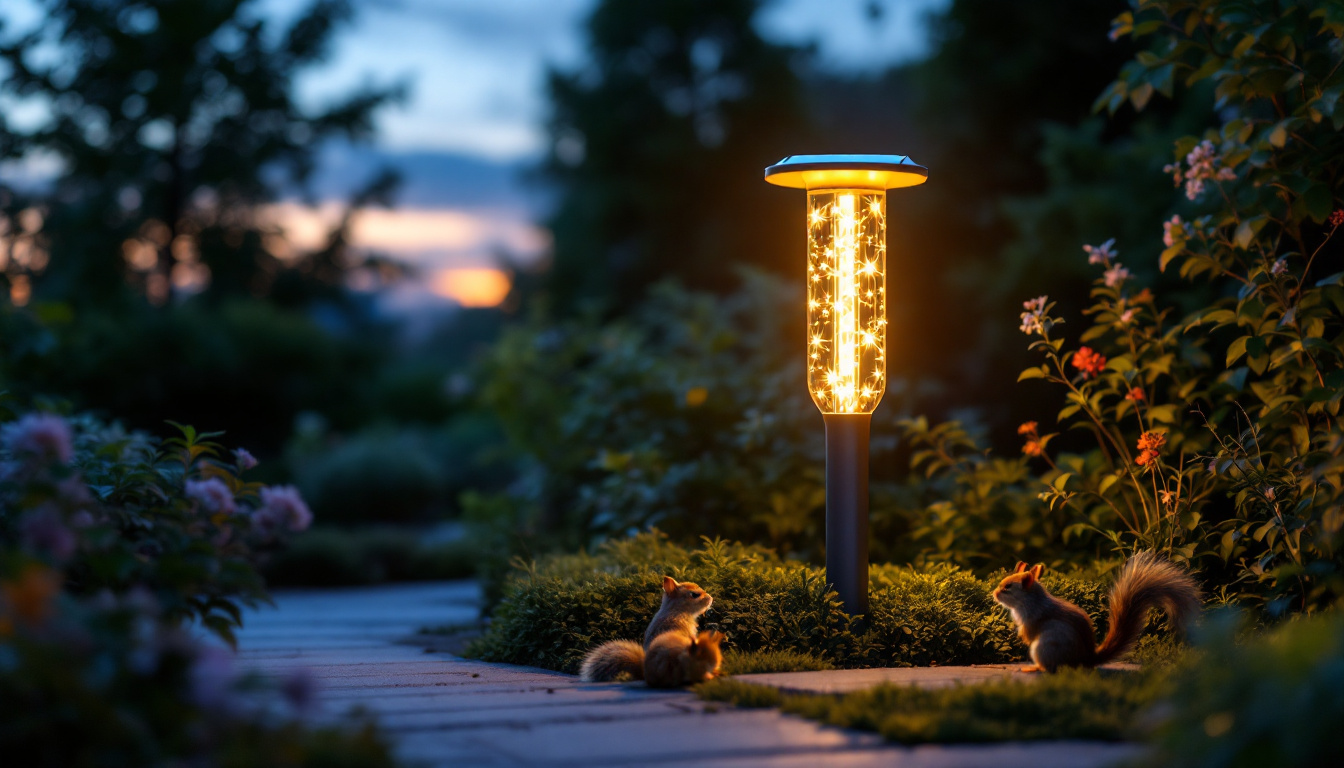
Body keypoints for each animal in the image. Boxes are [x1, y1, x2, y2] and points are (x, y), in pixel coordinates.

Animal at [992, 551, 1200, 673]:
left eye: (1008, 587)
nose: (994, 593)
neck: (1029, 600)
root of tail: (1086, 660)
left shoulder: (1031, 618)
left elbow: (1028, 633)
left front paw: (1020, 635)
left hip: (1043, 648)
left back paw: (1033, 668)